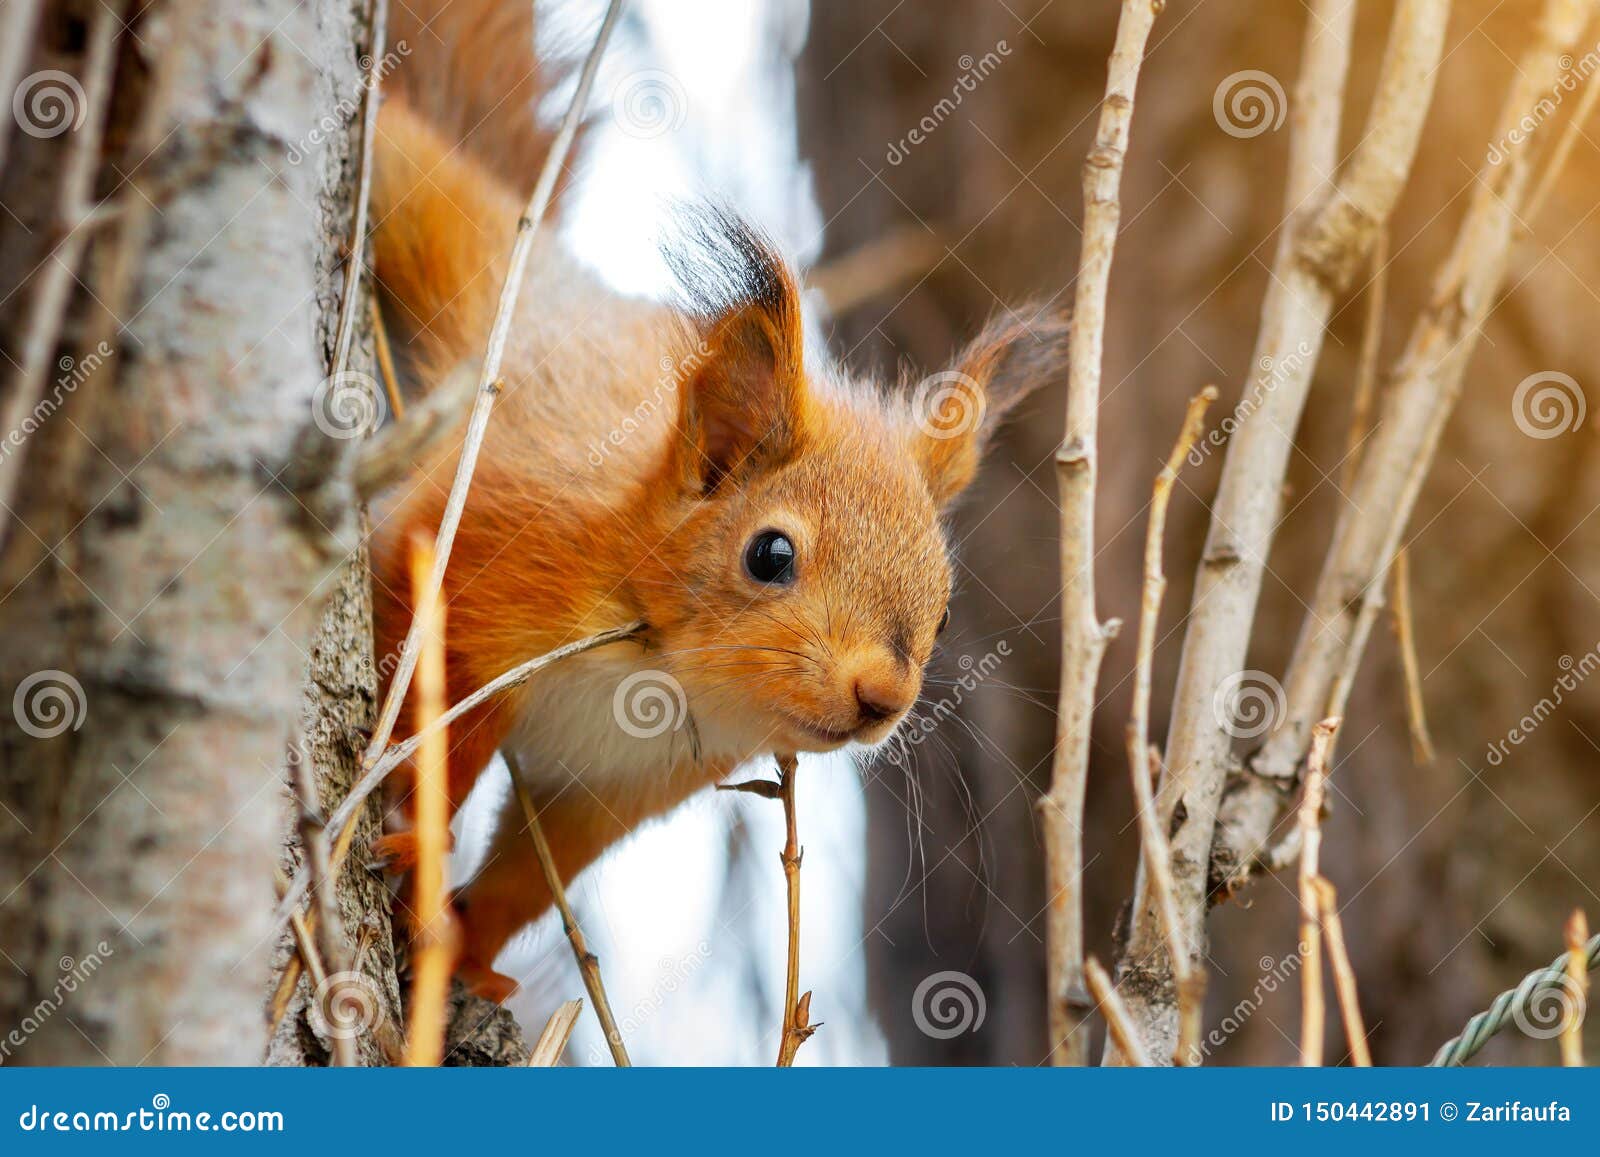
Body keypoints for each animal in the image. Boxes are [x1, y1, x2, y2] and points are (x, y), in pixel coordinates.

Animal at [366, 0, 1068, 1002]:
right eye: (770, 554)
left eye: (943, 607)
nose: (882, 697)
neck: (661, 666)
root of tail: (542, 282)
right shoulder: (491, 571)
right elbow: (434, 729)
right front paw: (423, 856)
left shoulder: (613, 788)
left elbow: (535, 871)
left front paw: (468, 942)